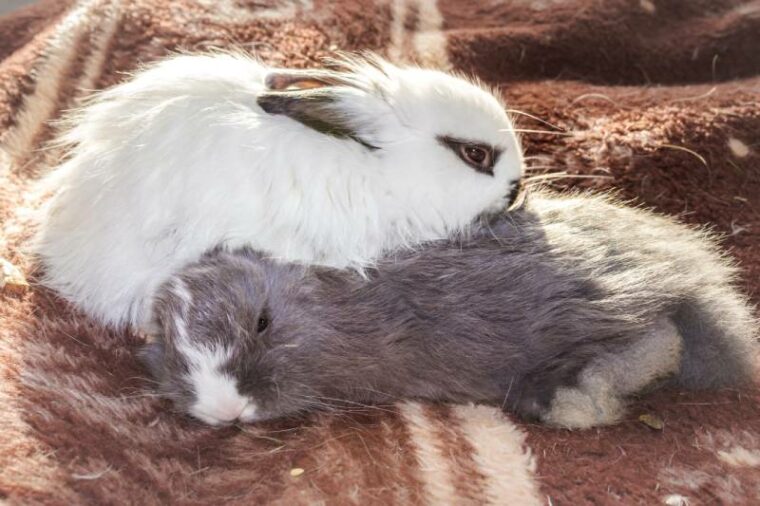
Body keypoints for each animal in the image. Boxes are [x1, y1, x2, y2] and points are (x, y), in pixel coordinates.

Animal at [140, 190, 758, 428]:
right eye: (168, 345)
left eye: (262, 322)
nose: (224, 410)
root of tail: (694, 272)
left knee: (660, 339)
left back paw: (578, 403)